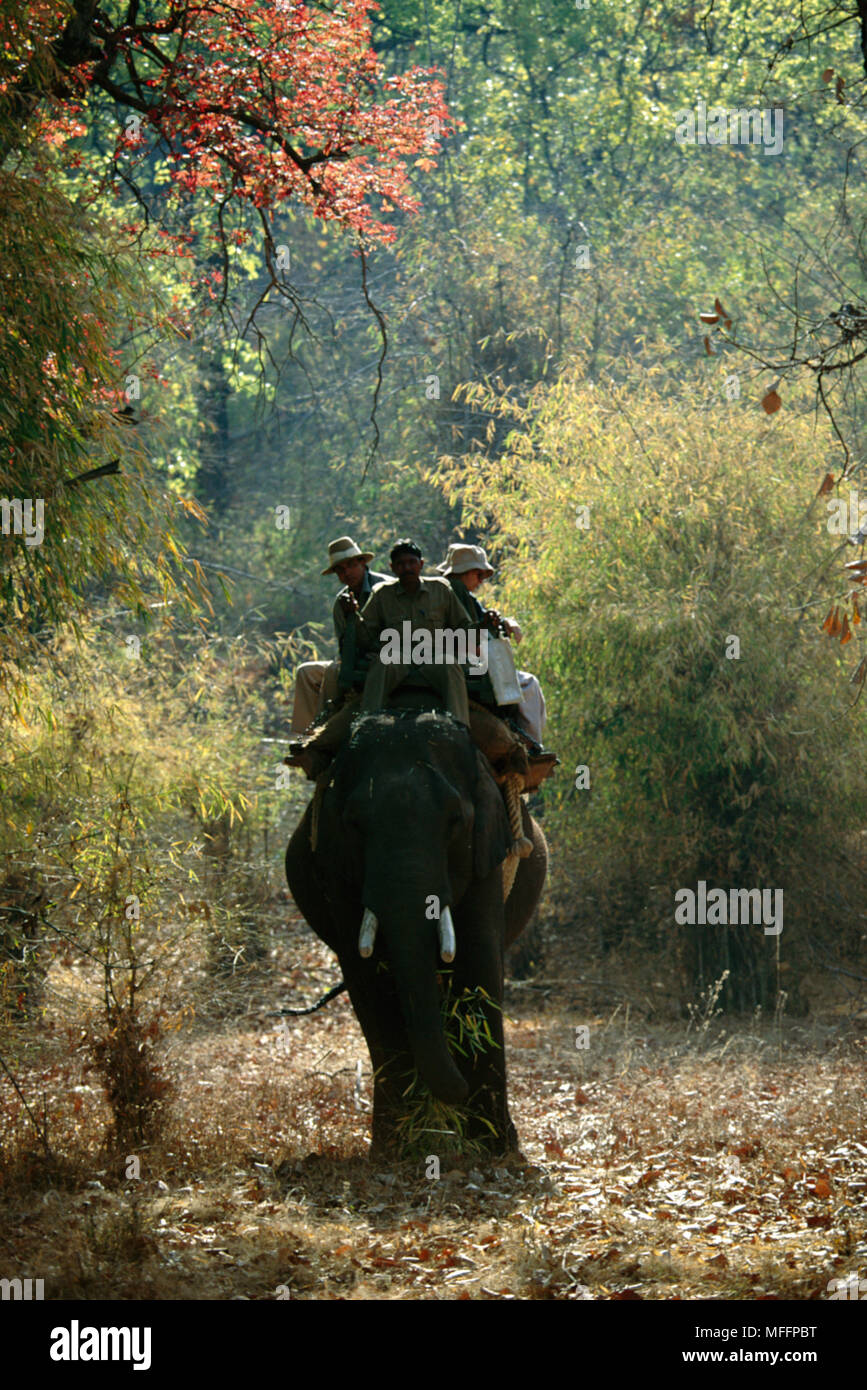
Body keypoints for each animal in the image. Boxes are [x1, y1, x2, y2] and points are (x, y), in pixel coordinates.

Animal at [284, 705, 548, 1157]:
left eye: (456, 820)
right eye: (354, 824)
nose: (455, 1094)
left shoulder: (487, 854)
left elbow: (477, 966)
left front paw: (494, 1147)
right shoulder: (335, 868)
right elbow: (368, 980)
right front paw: (398, 1146)